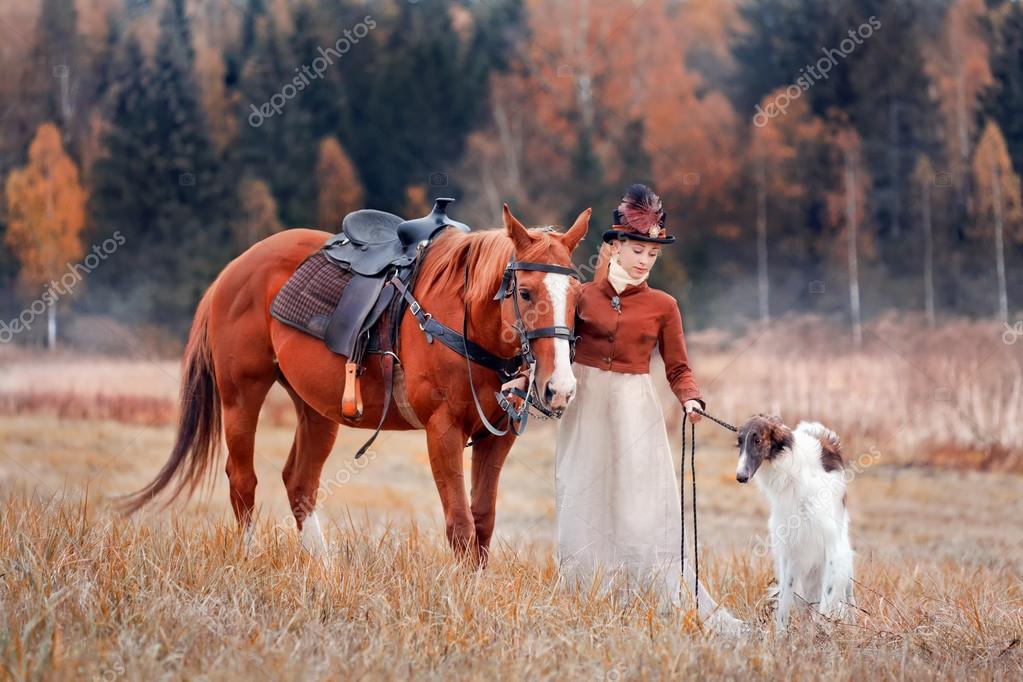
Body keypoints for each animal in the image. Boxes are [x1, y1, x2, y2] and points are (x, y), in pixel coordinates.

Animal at [122, 204, 591, 568]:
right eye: (525, 292)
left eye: (577, 294)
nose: (560, 388)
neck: (465, 319)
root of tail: (232, 271)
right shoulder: (442, 431)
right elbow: (460, 523)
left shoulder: (498, 439)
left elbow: (483, 521)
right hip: (241, 395)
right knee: (242, 480)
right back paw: (249, 558)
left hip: (316, 409)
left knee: (300, 483)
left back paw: (323, 567)